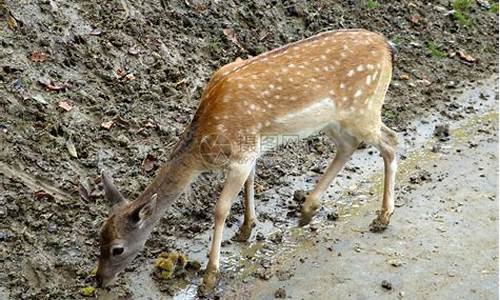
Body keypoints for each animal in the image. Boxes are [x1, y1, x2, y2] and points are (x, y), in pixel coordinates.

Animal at [94, 28, 398, 290]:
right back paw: (308, 210)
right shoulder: (250, 150)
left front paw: (210, 276)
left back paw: (382, 217)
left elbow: (220, 209)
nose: (99, 280)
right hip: (335, 119)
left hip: (363, 108)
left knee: (390, 141)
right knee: (348, 146)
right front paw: (246, 229)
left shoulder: (241, 155)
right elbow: (250, 183)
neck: (204, 147)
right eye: (99, 236)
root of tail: (388, 46)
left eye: (117, 248)